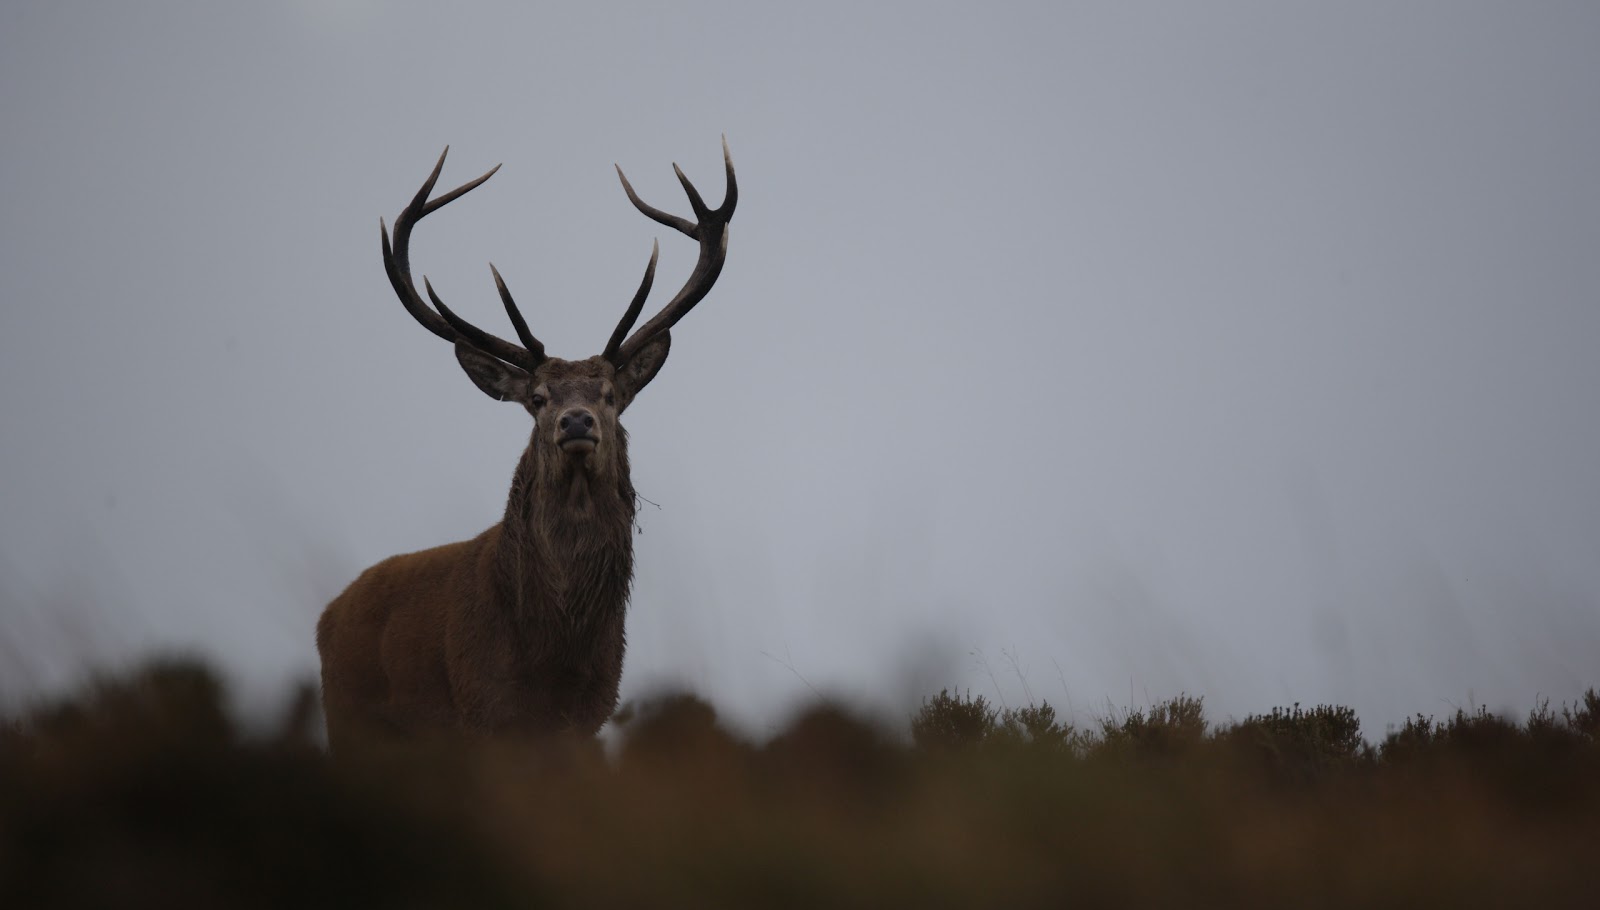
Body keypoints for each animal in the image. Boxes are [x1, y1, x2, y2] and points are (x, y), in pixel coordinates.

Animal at [316, 140, 736, 751]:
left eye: (610, 394)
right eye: (537, 398)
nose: (576, 422)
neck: (552, 654)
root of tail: (327, 615)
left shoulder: (590, 716)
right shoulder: (482, 709)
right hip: (348, 720)